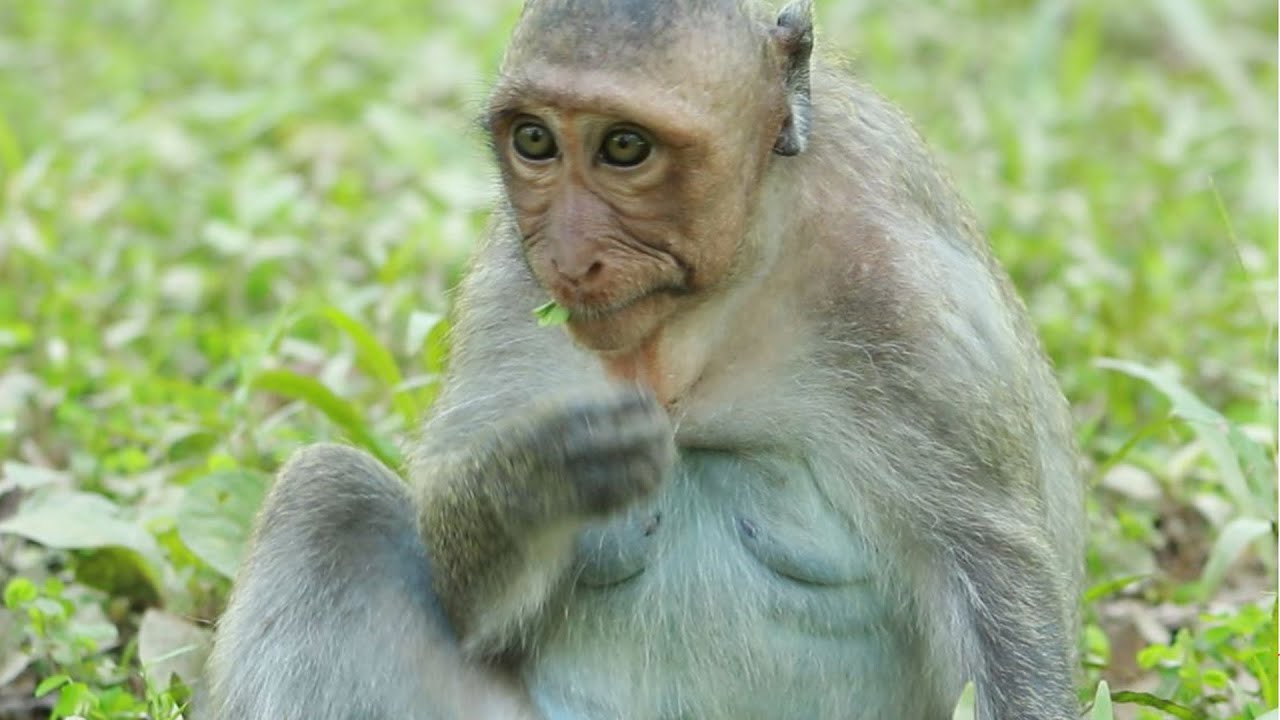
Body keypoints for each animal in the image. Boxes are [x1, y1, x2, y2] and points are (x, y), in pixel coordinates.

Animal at [204, 1, 1085, 719]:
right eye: (534, 140)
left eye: (625, 147)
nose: (567, 258)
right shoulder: (508, 285)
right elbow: (471, 608)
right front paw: (538, 476)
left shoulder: (909, 309)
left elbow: (997, 580)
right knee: (328, 494)